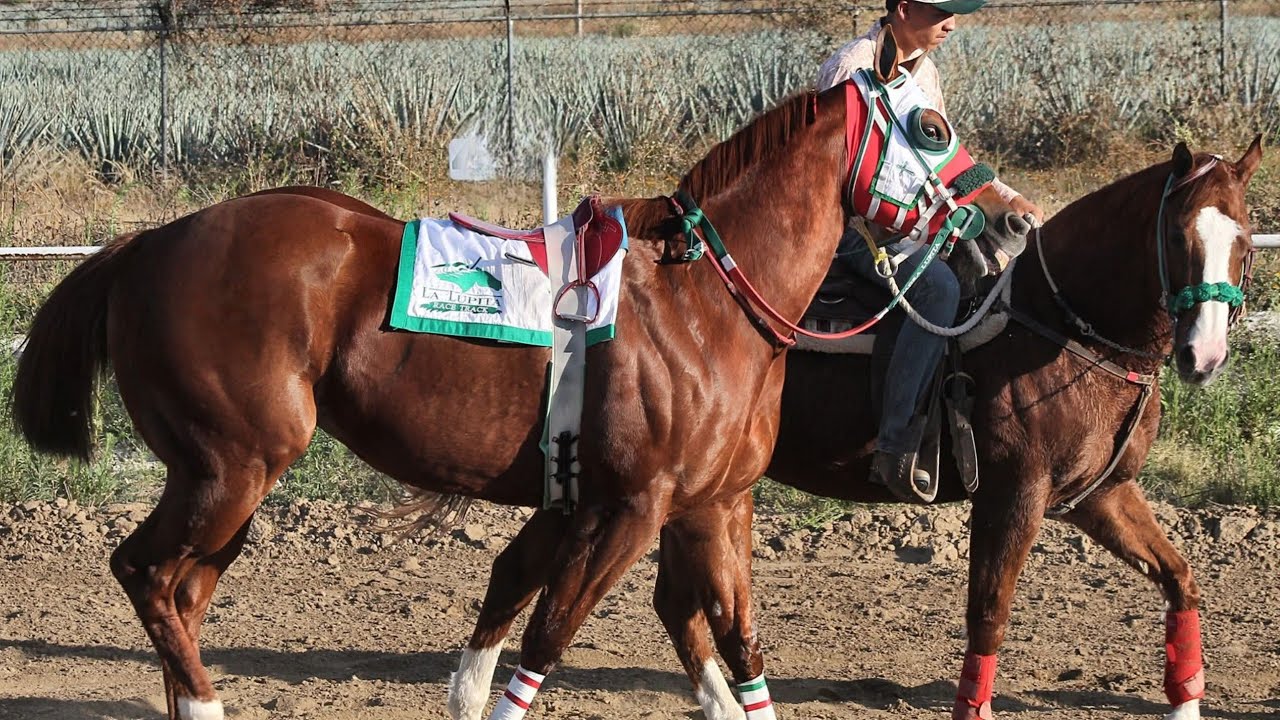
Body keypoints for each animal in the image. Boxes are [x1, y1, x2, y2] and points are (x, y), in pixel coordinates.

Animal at [9, 35, 1031, 720]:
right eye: (931, 125)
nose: (1016, 222)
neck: (706, 299)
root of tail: (148, 244)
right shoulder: (627, 509)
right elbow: (546, 640)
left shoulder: (715, 505)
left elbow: (734, 643)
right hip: (233, 465)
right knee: (144, 572)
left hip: (226, 482)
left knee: (182, 591)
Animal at [451, 138, 1262, 720]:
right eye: (1180, 236)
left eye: (1246, 238)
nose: (1203, 355)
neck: (1054, 320)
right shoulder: (1015, 494)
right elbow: (989, 617)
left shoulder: (1101, 496)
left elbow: (1182, 580)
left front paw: (1187, 702)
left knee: (616, 592)